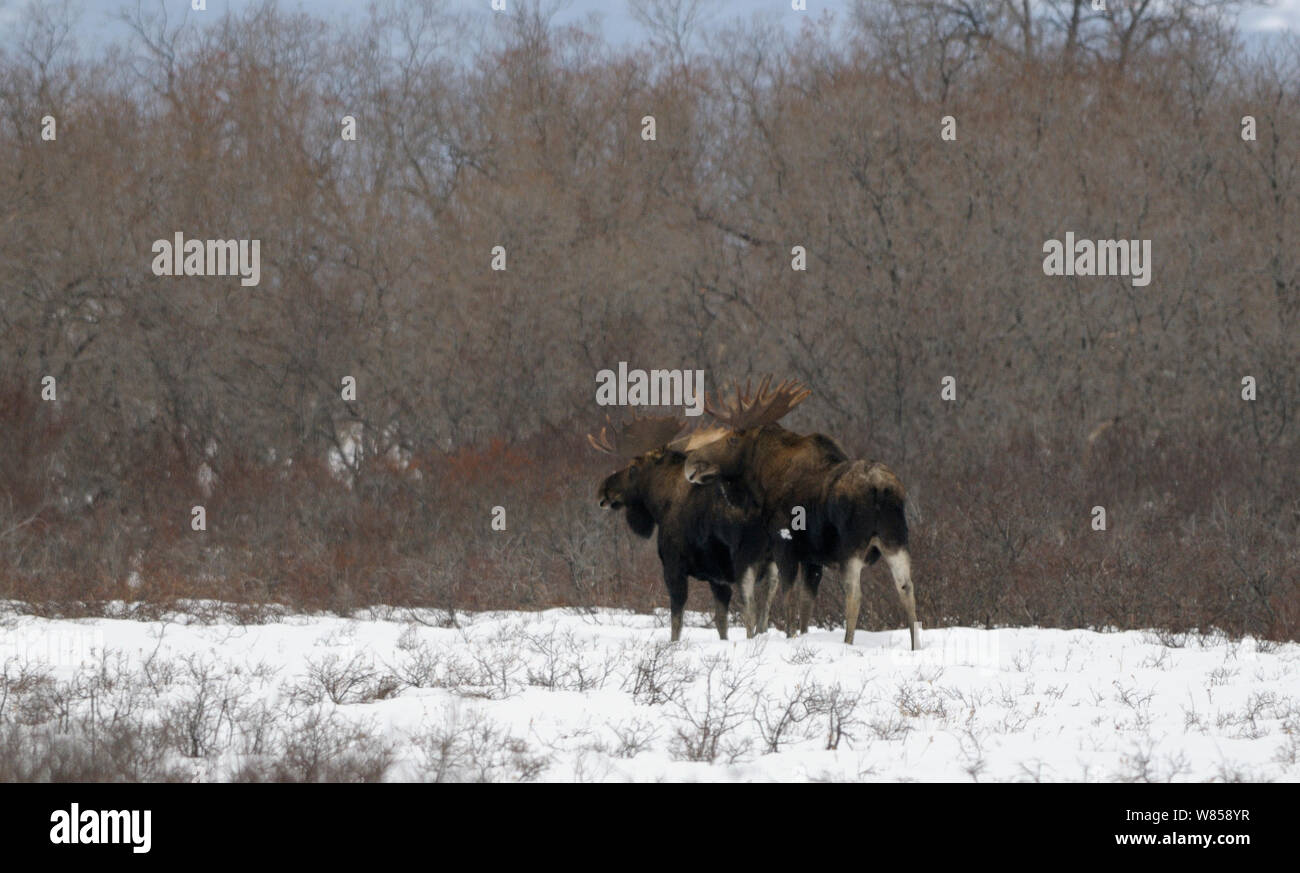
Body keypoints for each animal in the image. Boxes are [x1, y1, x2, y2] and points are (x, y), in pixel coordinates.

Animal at [589, 412, 771, 642]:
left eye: (633, 468)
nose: (603, 491)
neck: (660, 503)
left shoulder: (673, 565)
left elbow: (676, 619)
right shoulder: (717, 578)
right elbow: (721, 622)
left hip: (745, 560)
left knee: (751, 609)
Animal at [680, 377, 920, 649]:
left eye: (732, 438)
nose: (691, 463)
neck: (764, 480)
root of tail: (880, 487)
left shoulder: (785, 544)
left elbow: (788, 597)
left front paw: (790, 635)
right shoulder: (812, 558)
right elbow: (806, 603)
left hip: (852, 548)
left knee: (854, 594)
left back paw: (848, 642)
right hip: (896, 540)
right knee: (906, 588)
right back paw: (915, 646)